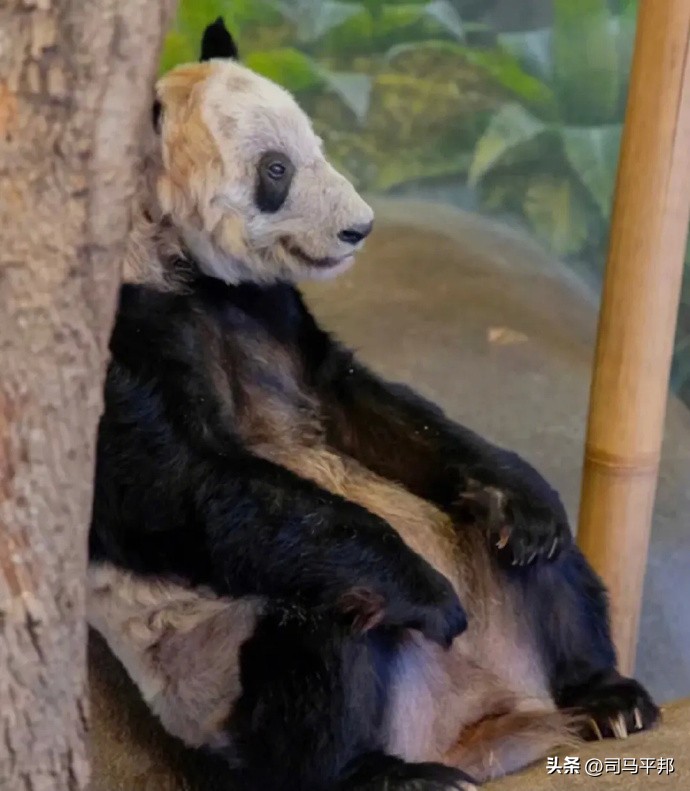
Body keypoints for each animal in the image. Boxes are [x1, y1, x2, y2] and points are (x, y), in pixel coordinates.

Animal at [89, 17, 659, 791]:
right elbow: (182, 484)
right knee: (325, 629)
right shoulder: (125, 332)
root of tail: (479, 731)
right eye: (276, 169)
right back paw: (383, 767)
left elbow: (365, 406)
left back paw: (604, 692)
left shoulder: (272, 313)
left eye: (318, 144)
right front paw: (433, 597)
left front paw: (524, 501)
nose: (358, 228)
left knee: (540, 562)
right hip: (224, 663)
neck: (182, 264)